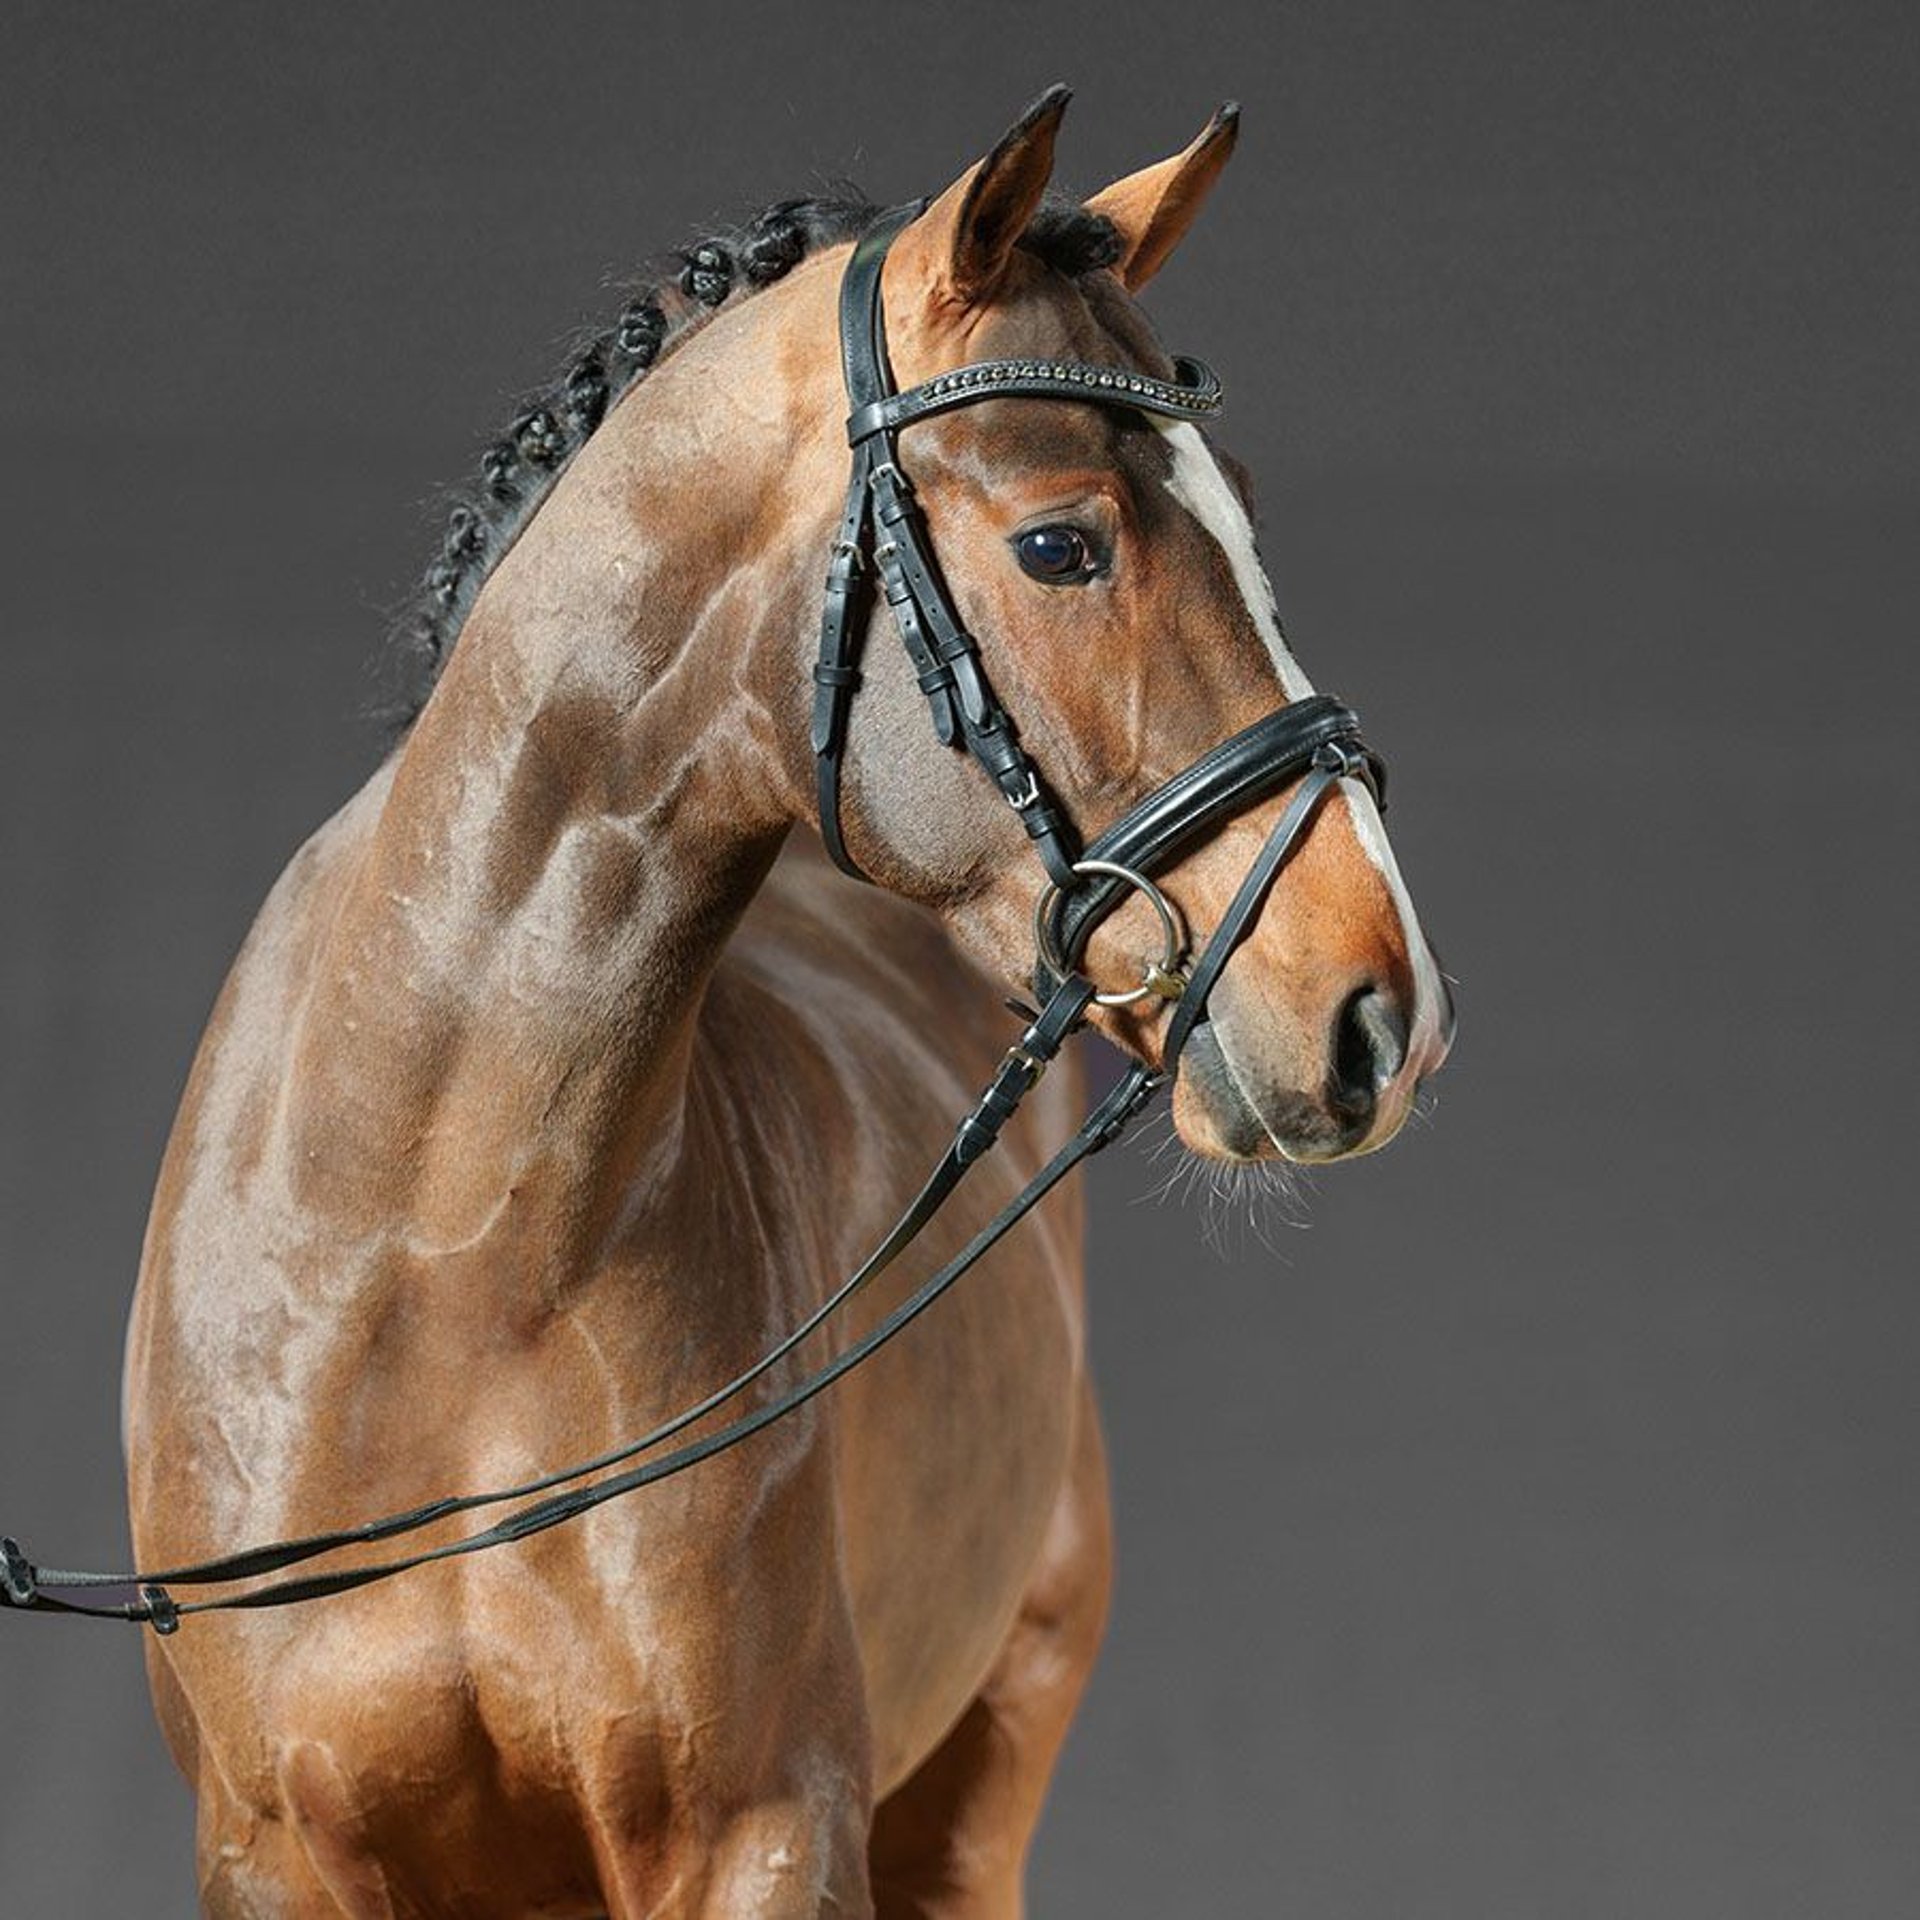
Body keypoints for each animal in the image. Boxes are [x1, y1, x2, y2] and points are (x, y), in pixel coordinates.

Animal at [120, 89, 1451, 1916]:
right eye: (1061, 543)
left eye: (1243, 508)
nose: (1384, 1007)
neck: (435, 1251)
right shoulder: (281, 1857)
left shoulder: (761, 1833)